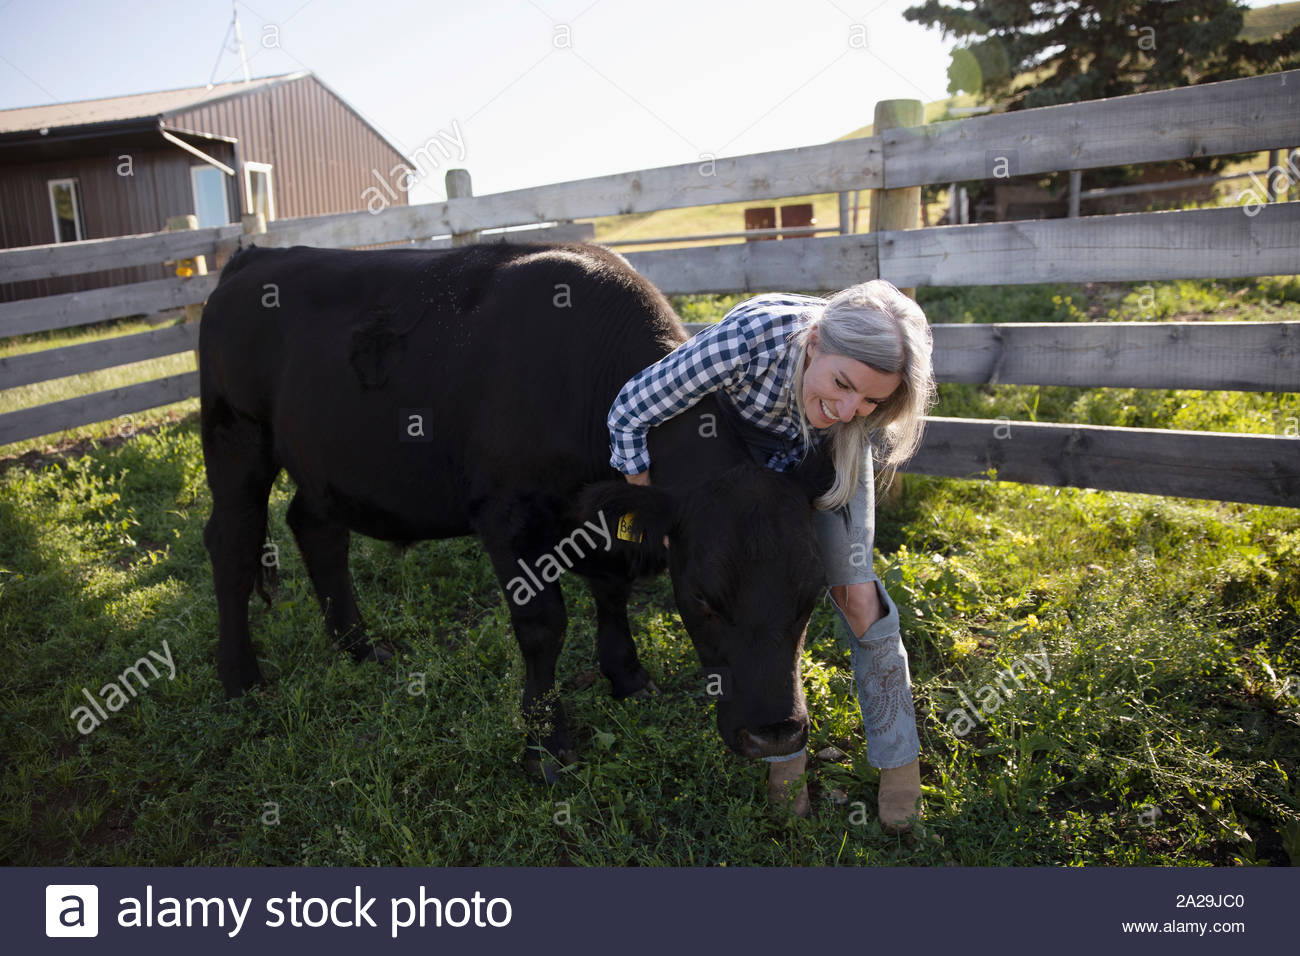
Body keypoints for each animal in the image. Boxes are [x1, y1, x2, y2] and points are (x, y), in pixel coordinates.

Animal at [198, 241, 831, 780]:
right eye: (702, 599)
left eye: (812, 596)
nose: (775, 735)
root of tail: (255, 256)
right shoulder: (508, 517)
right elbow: (543, 625)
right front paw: (546, 744)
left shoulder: (599, 518)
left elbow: (612, 592)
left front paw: (627, 676)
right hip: (236, 438)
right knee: (233, 542)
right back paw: (241, 678)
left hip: (323, 462)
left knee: (316, 529)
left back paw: (358, 646)